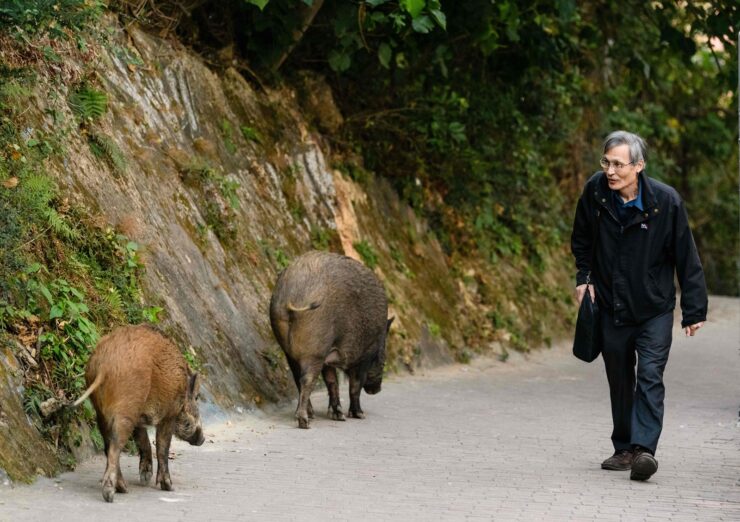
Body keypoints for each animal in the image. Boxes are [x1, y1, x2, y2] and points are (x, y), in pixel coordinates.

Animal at [73, 324, 205, 502]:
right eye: (196, 397)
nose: (202, 439)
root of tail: (104, 366)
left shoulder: (139, 419)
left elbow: (144, 442)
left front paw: (145, 479)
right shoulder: (168, 415)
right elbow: (162, 447)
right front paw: (169, 487)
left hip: (101, 412)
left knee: (108, 446)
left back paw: (123, 489)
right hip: (125, 409)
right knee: (114, 446)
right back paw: (112, 493)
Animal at [269, 250, 393, 429]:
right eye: (383, 361)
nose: (377, 389)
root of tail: (291, 298)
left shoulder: (330, 356)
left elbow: (332, 382)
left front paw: (339, 416)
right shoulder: (364, 355)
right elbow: (355, 385)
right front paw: (359, 415)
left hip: (289, 349)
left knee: (298, 378)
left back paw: (310, 415)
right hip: (316, 348)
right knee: (307, 379)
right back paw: (305, 422)